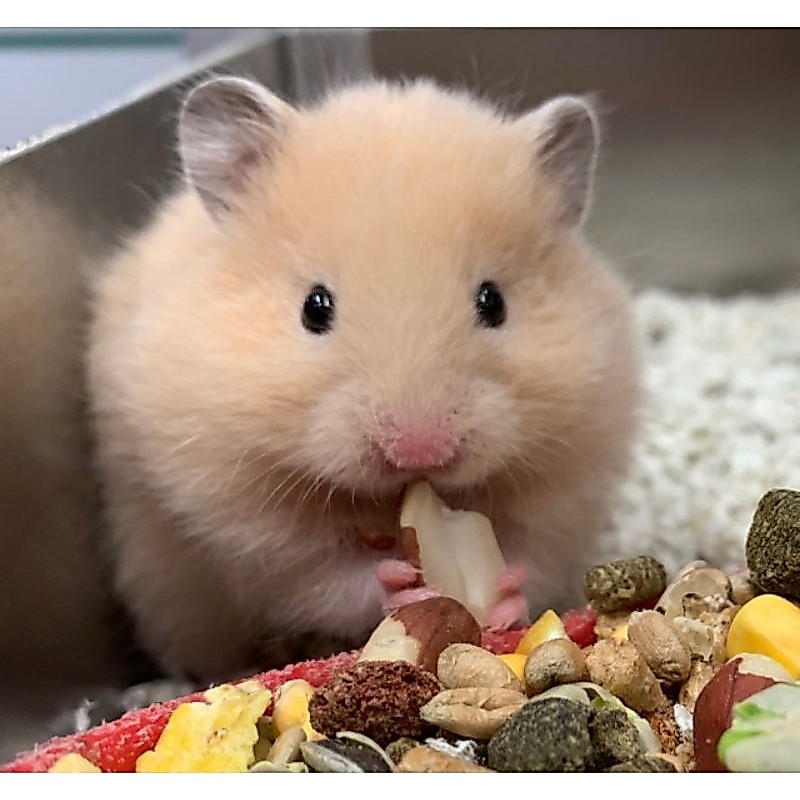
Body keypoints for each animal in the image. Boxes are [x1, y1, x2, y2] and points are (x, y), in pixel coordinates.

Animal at [87, 76, 640, 683]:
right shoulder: (238, 525)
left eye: (493, 302)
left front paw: (503, 591)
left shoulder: (569, 485)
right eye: (314, 307)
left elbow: (532, 552)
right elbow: (322, 575)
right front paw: (401, 588)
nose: (421, 452)